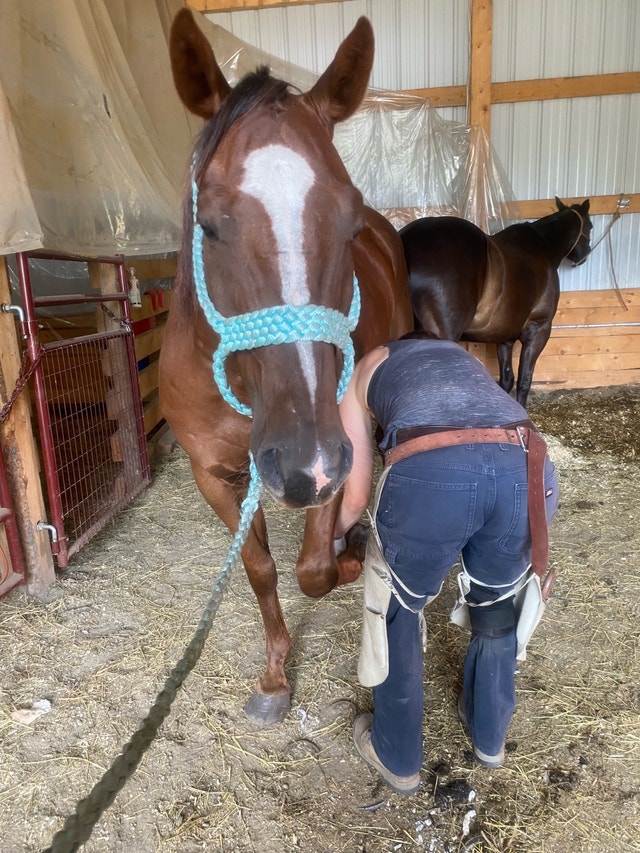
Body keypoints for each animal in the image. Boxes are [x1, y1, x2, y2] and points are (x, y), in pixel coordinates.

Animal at [159, 10, 413, 725]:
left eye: (349, 222)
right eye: (210, 225)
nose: (304, 463)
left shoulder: (338, 450)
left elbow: (314, 571)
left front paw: (350, 553)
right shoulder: (214, 474)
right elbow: (262, 570)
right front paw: (275, 675)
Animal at [399, 198, 593, 407]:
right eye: (590, 226)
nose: (585, 254)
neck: (543, 247)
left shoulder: (504, 339)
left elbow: (506, 380)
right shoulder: (539, 330)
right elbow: (524, 380)